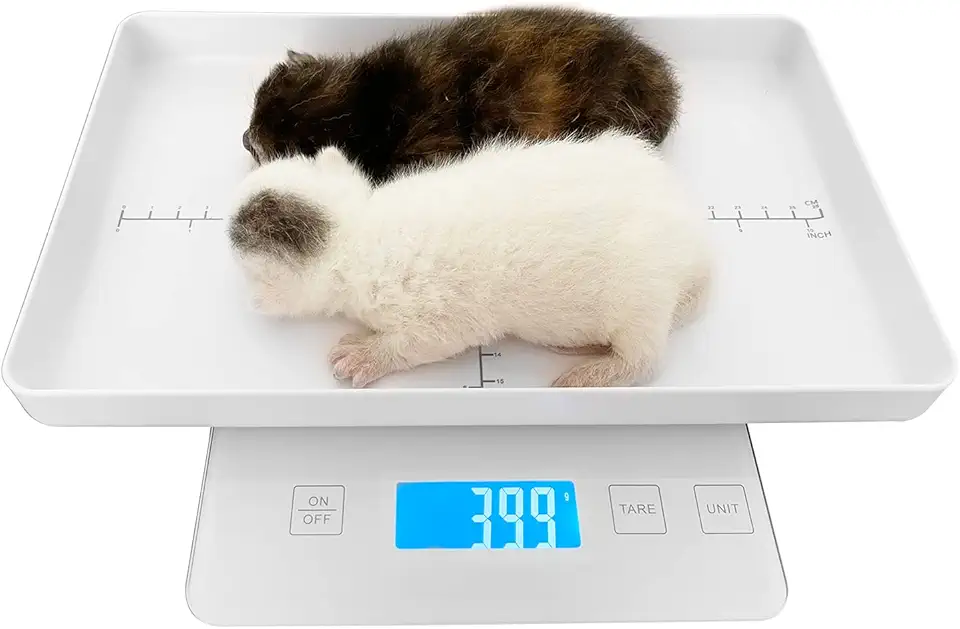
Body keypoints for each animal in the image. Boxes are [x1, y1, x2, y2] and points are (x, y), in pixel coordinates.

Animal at [227, 129, 710, 388]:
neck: (358, 228)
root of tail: (699, 253)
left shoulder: (442, 316)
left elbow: (417, 343)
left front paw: (363, 356)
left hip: (640, 302)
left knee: (645, 360)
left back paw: (592, 373)